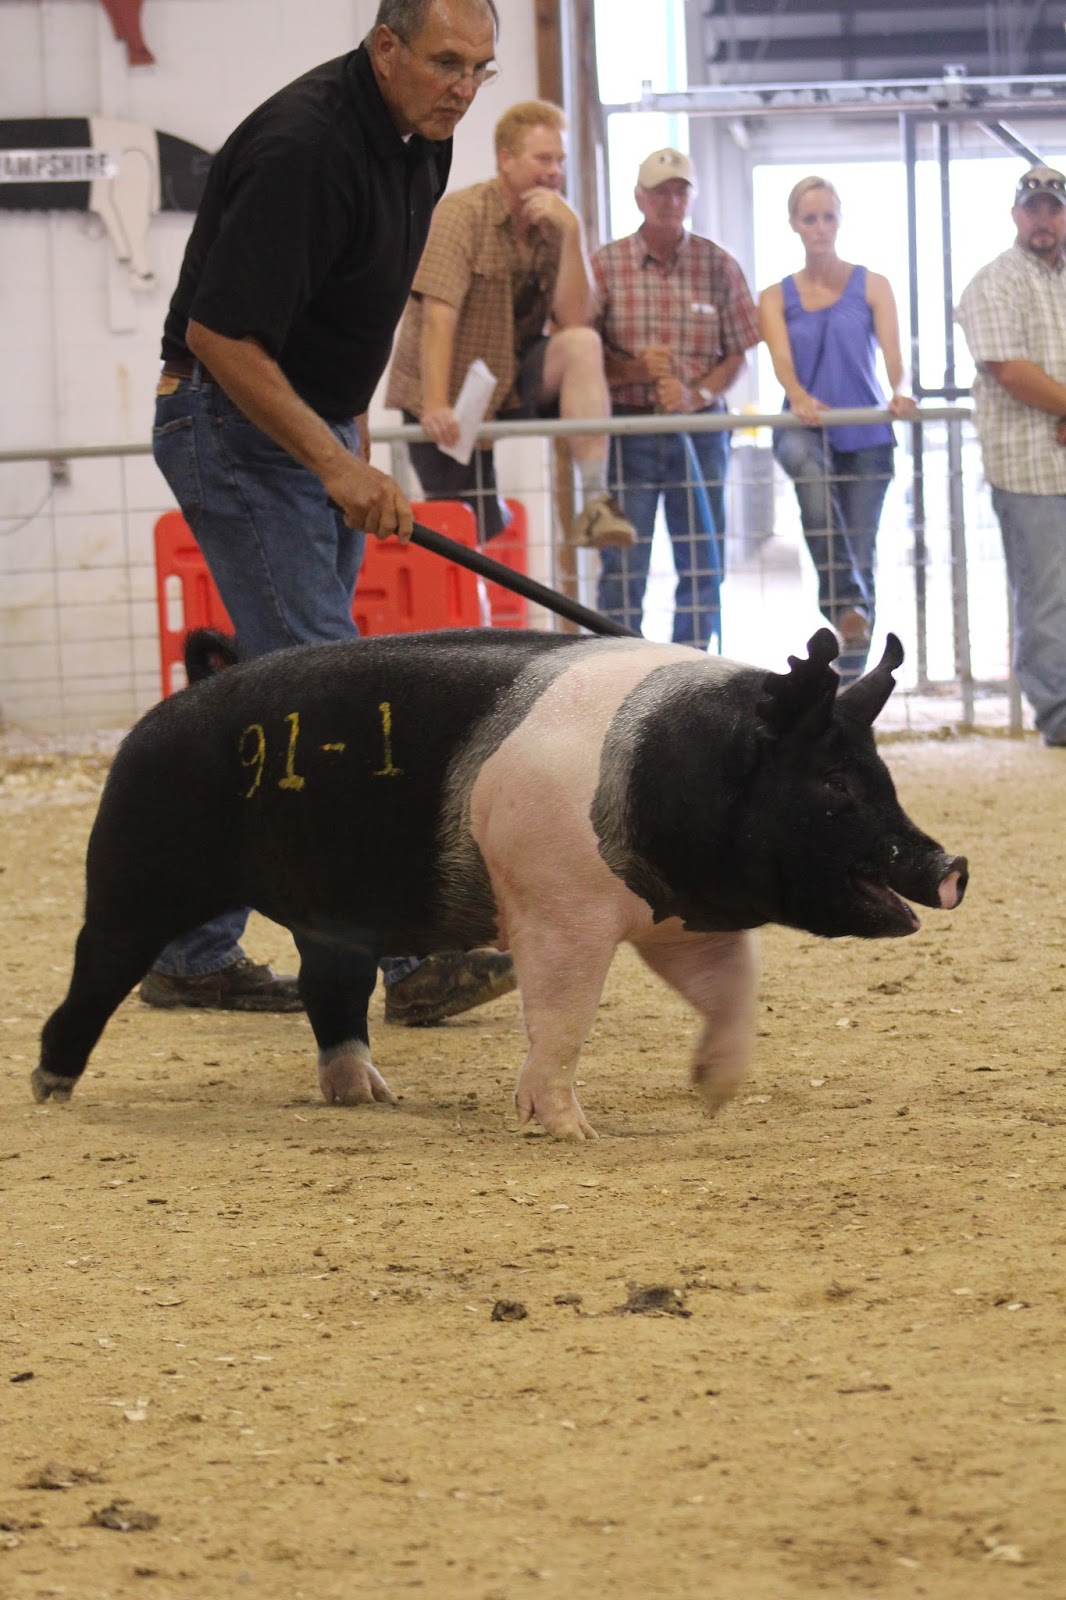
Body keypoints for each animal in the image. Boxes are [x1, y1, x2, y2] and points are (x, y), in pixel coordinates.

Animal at [31, 625, 967, 1140]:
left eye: (881, 775)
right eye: (836, 786)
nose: (949, 865)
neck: (665, 773)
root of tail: (177, 701)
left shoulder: (682, 920)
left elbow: (730, 991)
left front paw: (713, 1097)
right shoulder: (557, 908)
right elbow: (560, 1017)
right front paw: (576, 1133)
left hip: (331, 918)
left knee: (332, 996)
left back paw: (373, 1098)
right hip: (136, 872)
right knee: (96, 971)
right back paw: (51, 1090)